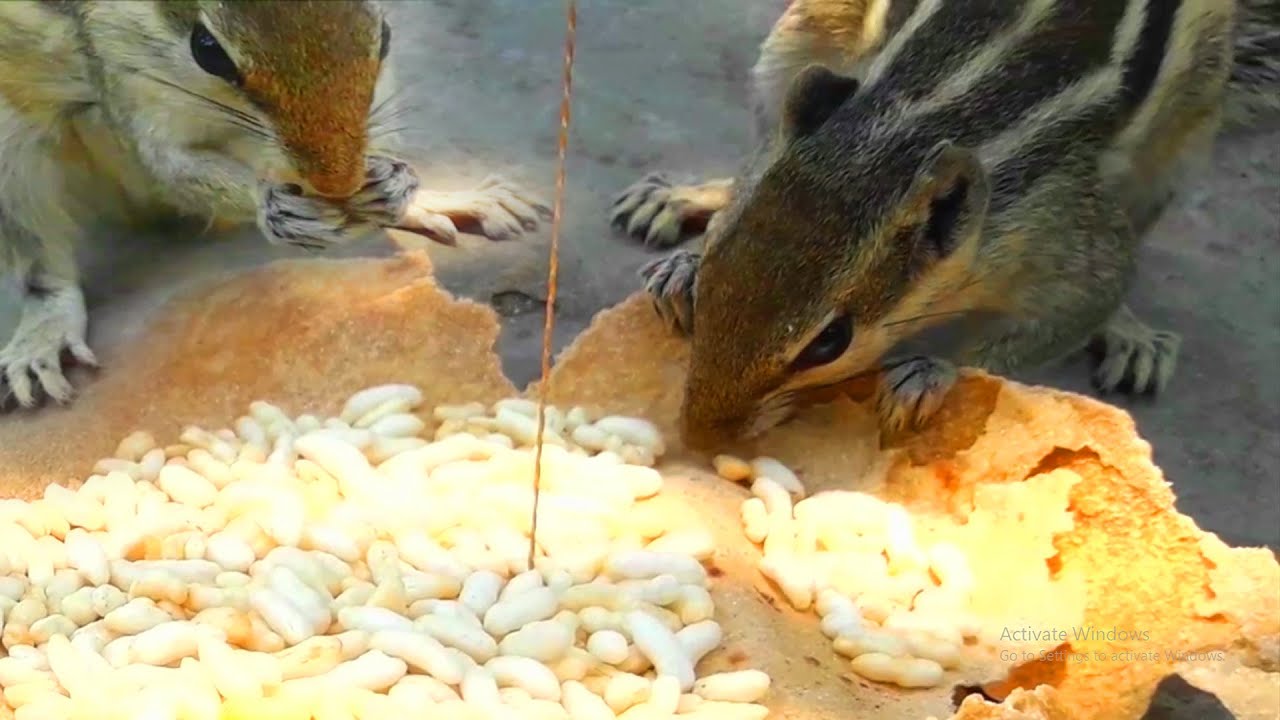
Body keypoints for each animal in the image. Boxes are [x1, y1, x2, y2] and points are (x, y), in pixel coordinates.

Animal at [0, 0, 552, 410]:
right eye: (207, 50)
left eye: (385, 36)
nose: (337, 180)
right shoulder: (127, 81)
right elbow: (175, 169)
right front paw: (276, 208)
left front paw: (397, 185)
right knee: (42, 265)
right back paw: (45, 331)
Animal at [610, 0, 1280, 450]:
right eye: (721, 265)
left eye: (829, 342)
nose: (699, 435)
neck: (903, 129)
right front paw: (687, 266)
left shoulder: (1063, 228)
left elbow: (1085, 302)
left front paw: (930, 371)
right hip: (798, 35)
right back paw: (680, 198)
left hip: (1184, 132)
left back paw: (1132, 334)